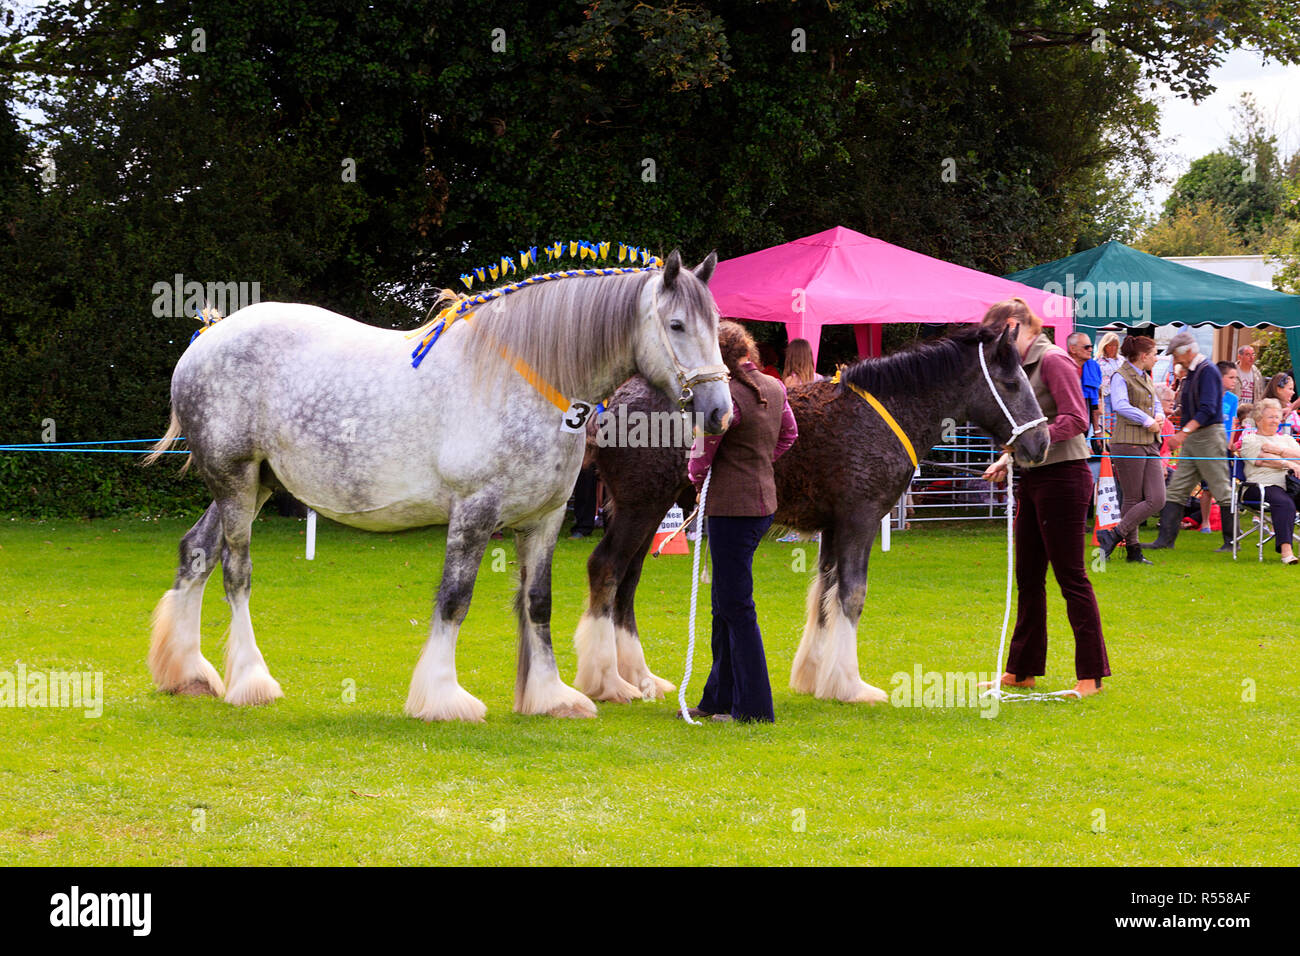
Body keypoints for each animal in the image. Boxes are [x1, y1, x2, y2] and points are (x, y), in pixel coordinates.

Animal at [142, 251, 732, 722]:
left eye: (716, 323)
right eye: (677, 324)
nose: (720, 412)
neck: (524, 382)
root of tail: (208, 336)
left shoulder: (543, 519)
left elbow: (538, 603)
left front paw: (550, 696)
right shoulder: (475, 511)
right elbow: (454, 599)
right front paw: (444, 698)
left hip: (252, 485)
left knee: (196, 553)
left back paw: (187, 675)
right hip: (236, 481)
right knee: (235, 572)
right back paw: (251, 681)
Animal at [572, 320, 1050, 705]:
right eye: (1011, 383)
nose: (1040, 444)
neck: (884, 415)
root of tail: (612, 404)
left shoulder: (834, 527)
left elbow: (825, 593)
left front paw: (815, 676)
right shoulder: (860, 520)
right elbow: (852, 595)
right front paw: (850, 685)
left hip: (644, 509)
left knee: (627, 579)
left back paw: (642, 677)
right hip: (641, 506)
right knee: (606, 568)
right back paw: (608, 682)